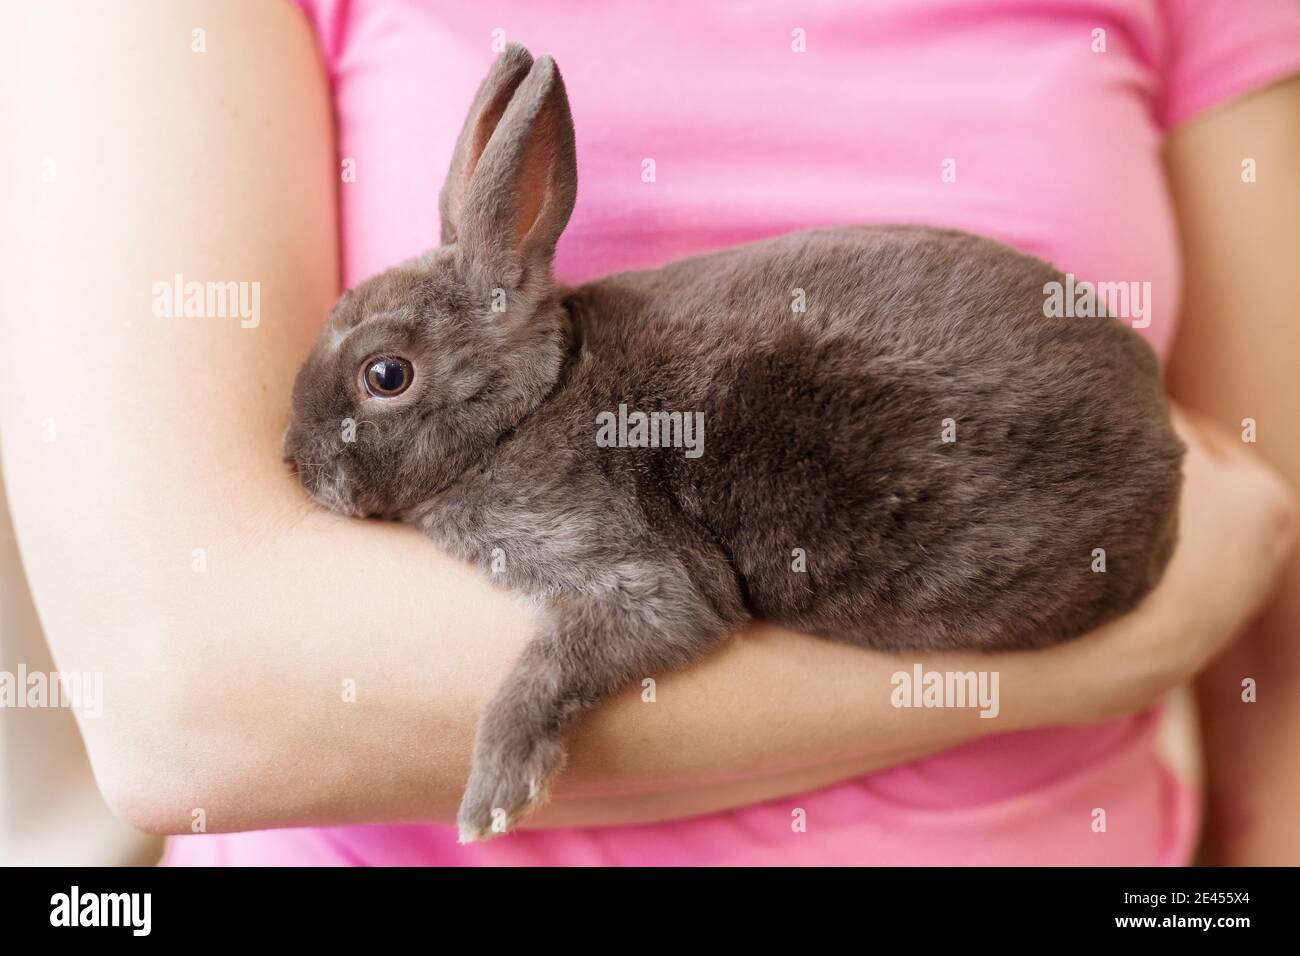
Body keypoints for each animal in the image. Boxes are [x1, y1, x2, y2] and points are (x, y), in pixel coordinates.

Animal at [283, 44, 1184, 842]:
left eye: (387, 374)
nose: (295, 463)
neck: (533, 400)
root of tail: (1162, 431)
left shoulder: (635, 574)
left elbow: (562, 662)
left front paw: (494, 799)